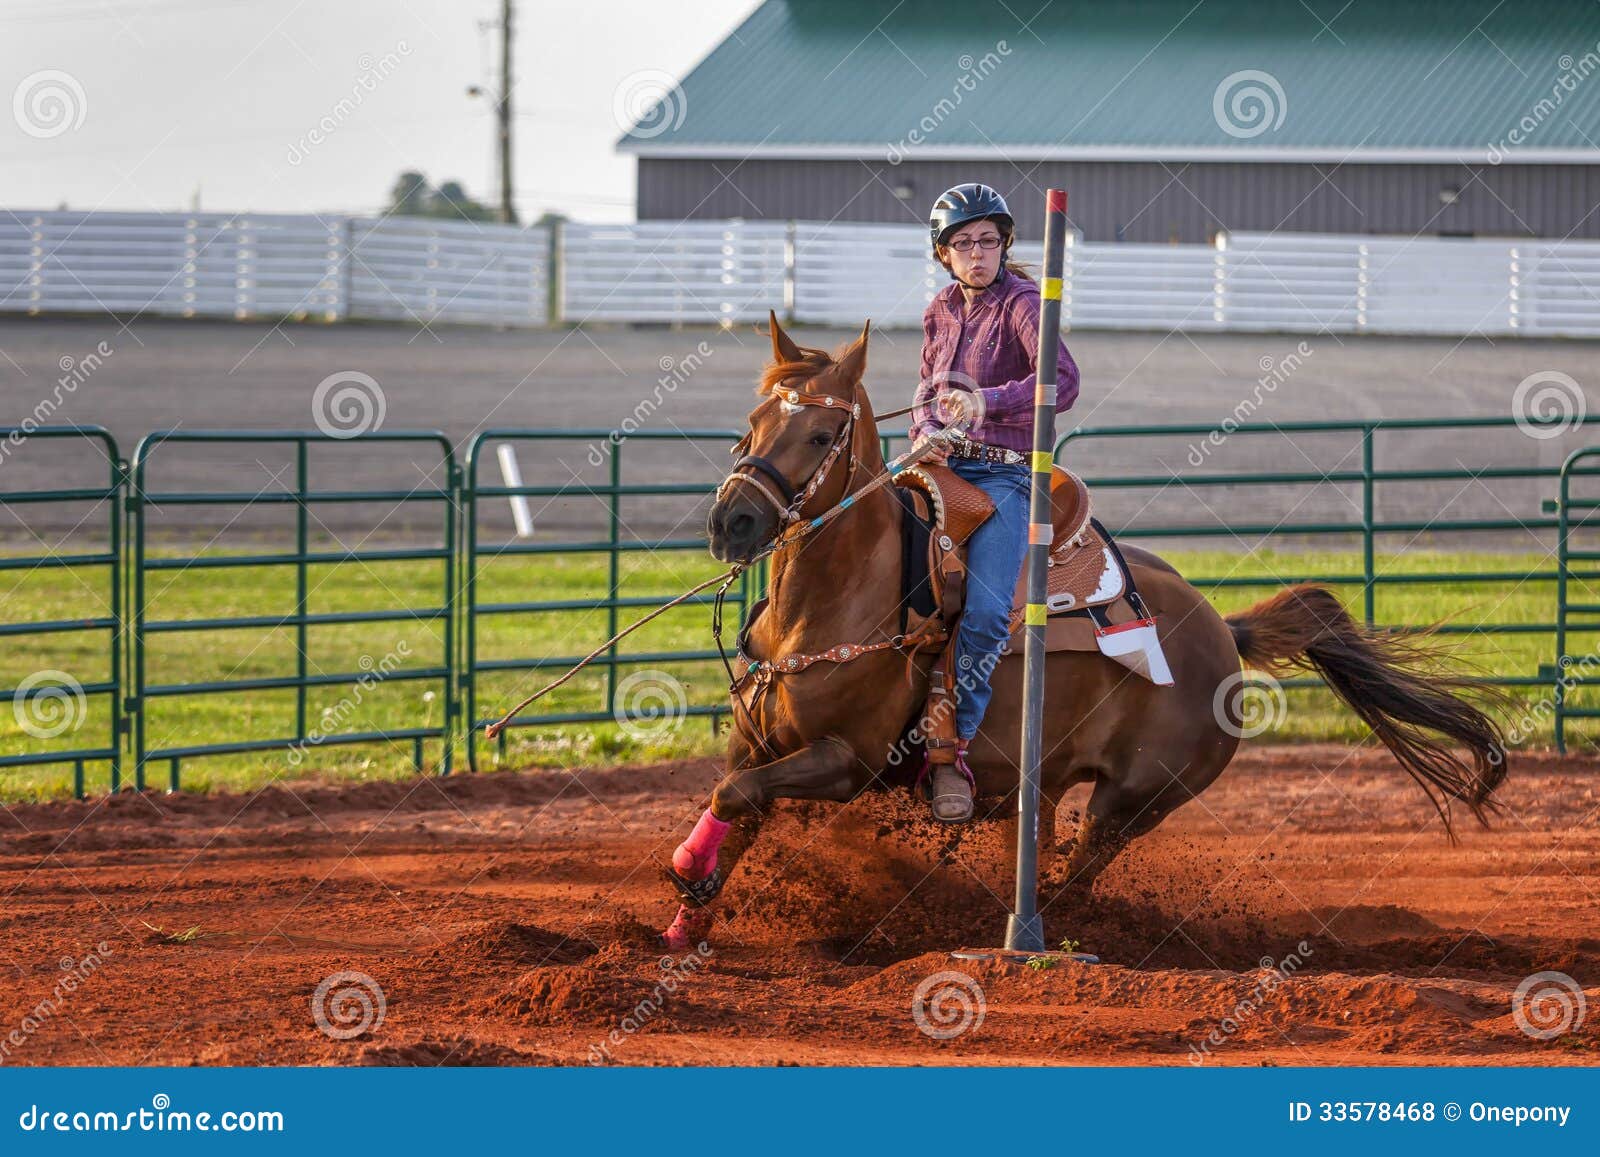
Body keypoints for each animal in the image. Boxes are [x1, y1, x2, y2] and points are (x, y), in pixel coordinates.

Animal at [658, 316, 1507, 950]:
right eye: (752, 423)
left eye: (817, 434)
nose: (731, 521)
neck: (840, 597)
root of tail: (1222, 629)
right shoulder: (760, 742)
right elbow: (736, 801)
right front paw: (688, 914)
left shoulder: (848, 760)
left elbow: (737, 794)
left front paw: (685, 872)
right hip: (1051, 782)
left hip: (1136, 798)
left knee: (1080, 868)